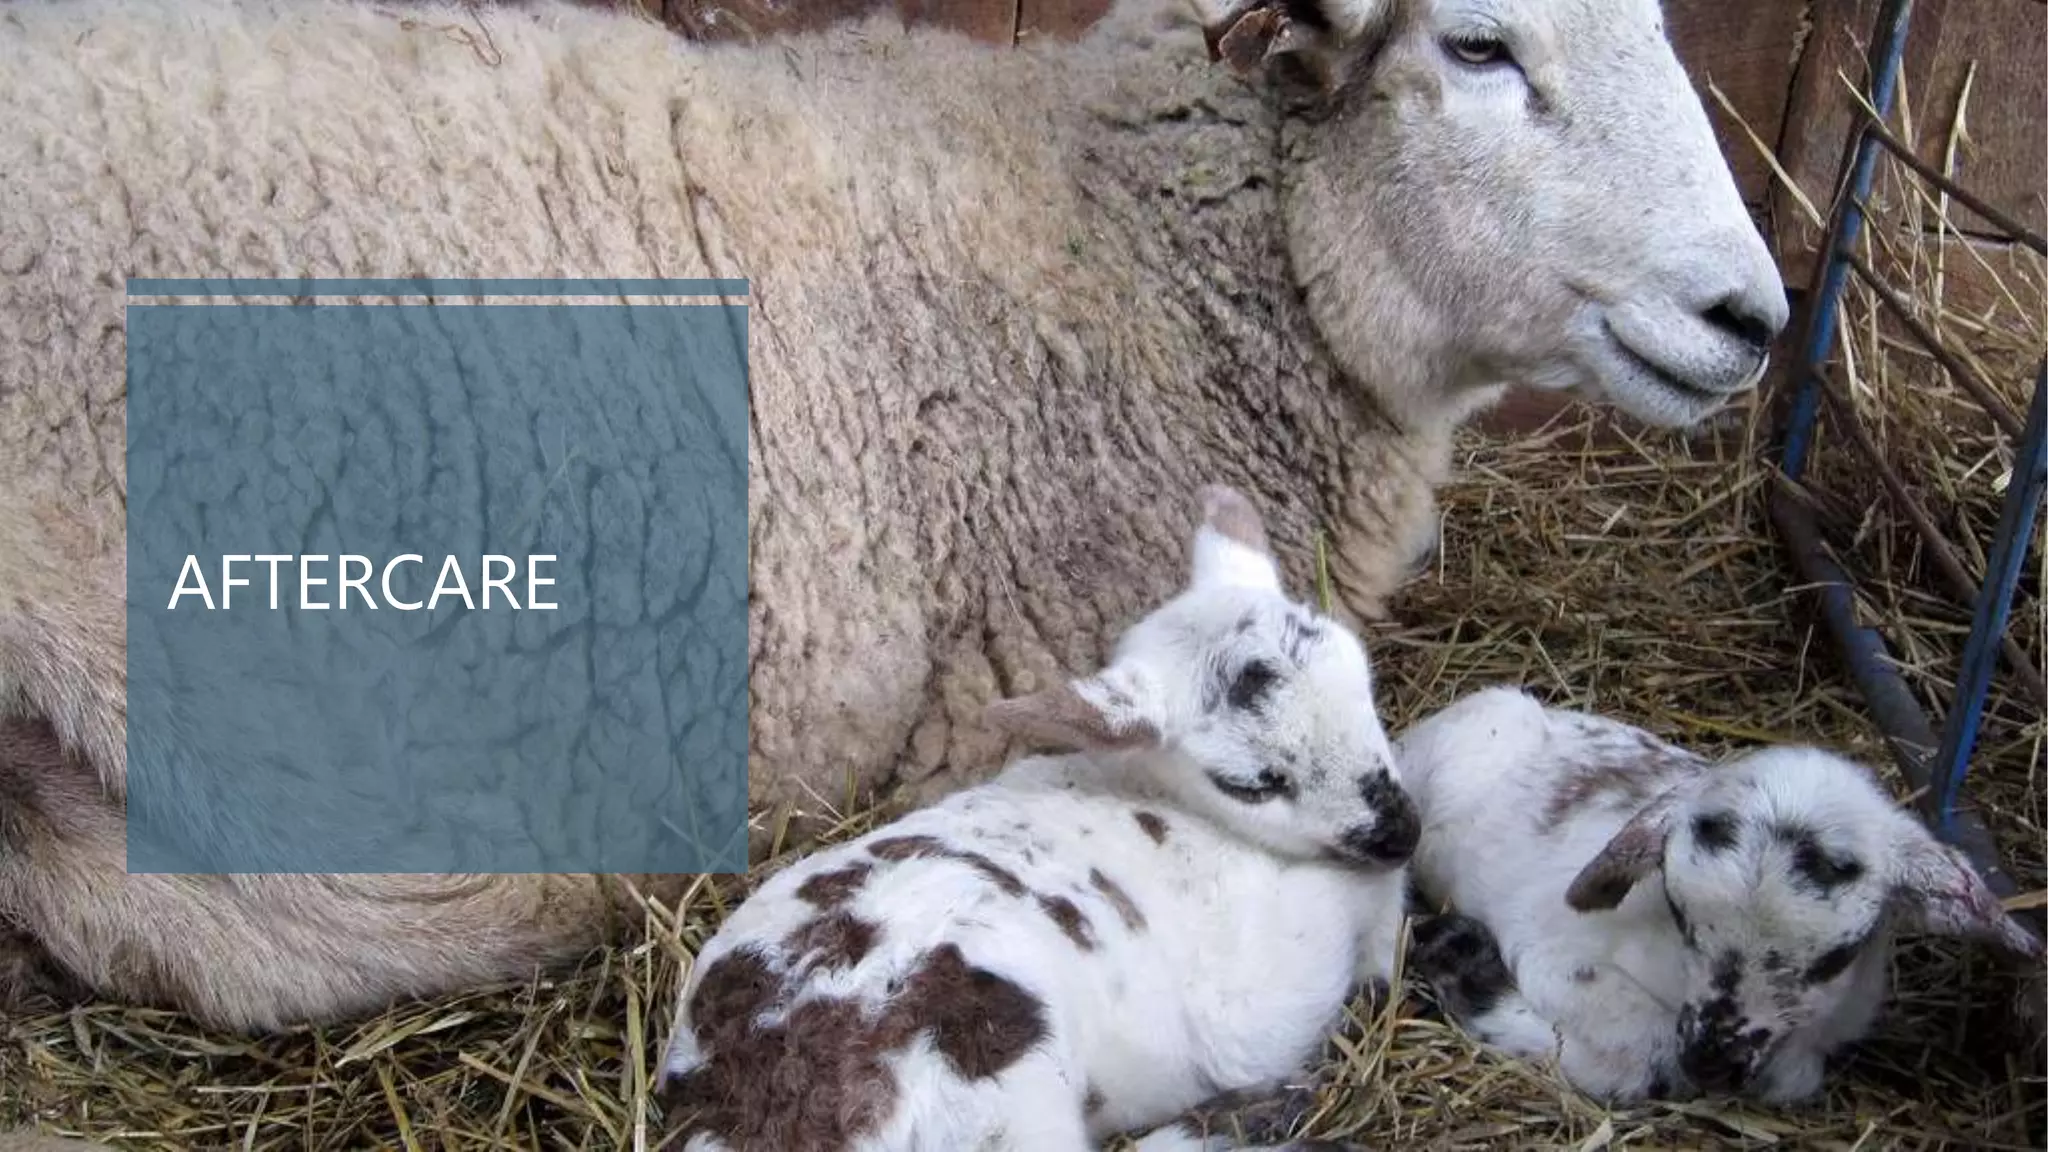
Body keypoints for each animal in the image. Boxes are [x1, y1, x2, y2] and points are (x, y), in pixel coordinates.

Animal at [1394, 686, 2045, 1105]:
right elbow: (1642, 1051)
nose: (1711, 1059)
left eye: (1839, 957)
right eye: (1682, 917)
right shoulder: (1555, 954)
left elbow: (1793, 1080)